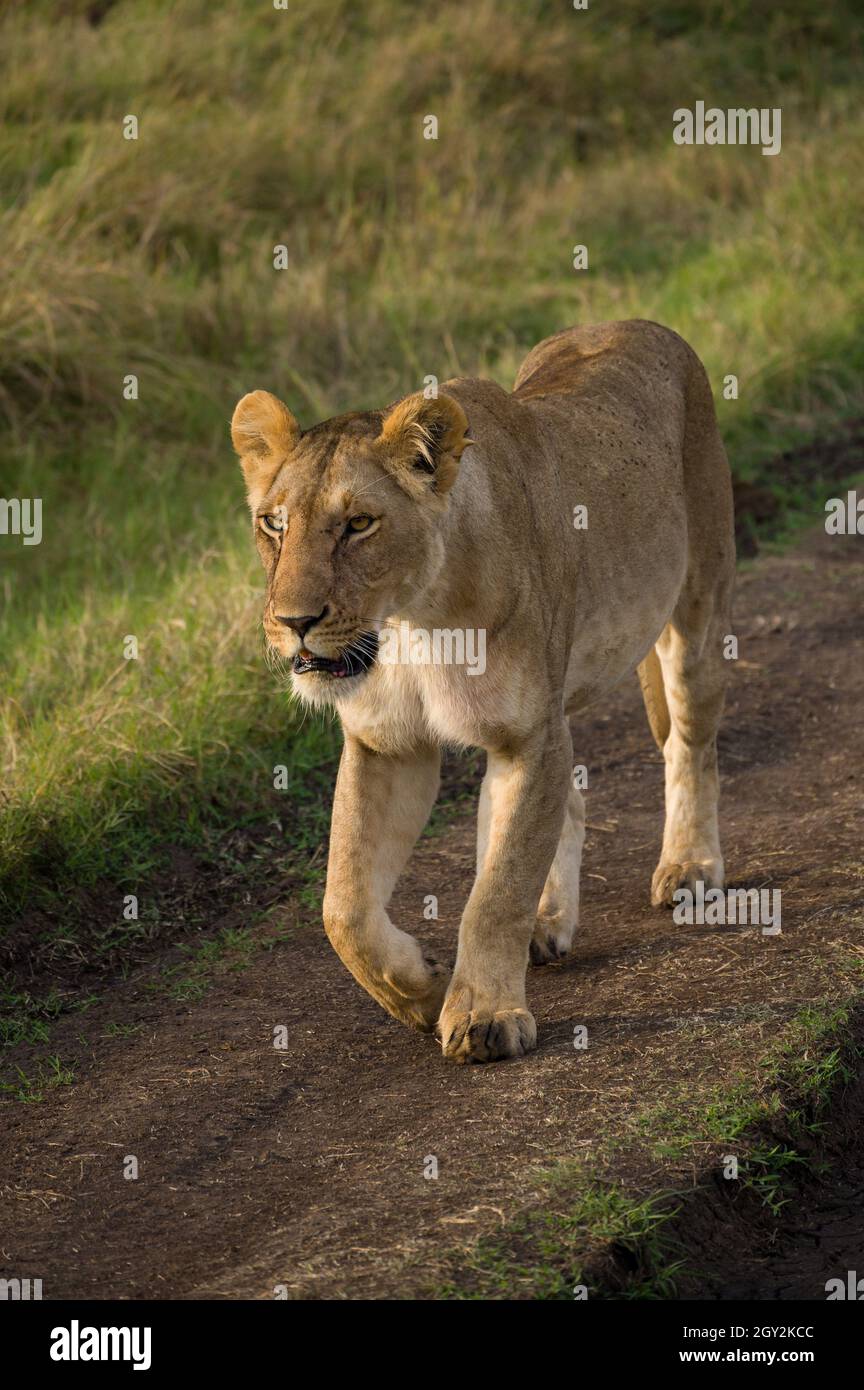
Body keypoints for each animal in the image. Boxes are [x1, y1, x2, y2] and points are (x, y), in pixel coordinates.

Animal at [232, 320, 735, 1064]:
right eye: (274, 524)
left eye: (358, 524)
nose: (294, 622)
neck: (410, 621)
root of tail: (636, 324)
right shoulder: (389, 747)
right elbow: (343, 906)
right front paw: (417, 991)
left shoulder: (527, 736)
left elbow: (496, 892)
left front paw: (484, 1015)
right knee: (561, 802)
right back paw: (548, 919)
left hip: (696, 612)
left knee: (689, 745)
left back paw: (690, 864)